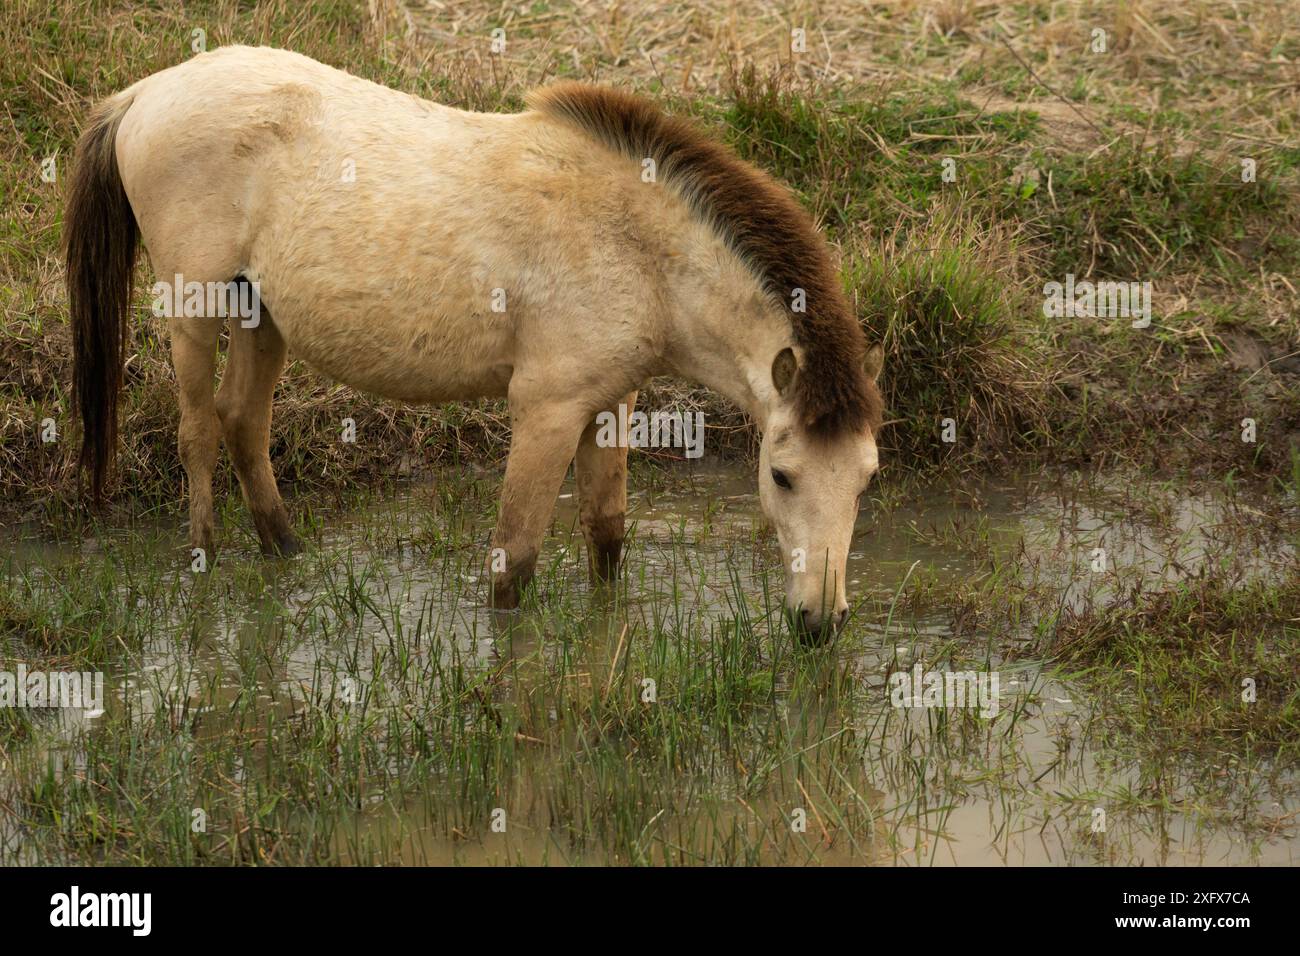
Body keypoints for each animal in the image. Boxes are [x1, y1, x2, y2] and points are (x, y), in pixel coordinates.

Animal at [64, 46, 885, 640]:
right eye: (781, 476)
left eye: (865, 482)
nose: (822, 623)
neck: (639, 248)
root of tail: (141, 95)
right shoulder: (546, 409)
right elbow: (512, 563)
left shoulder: (609, 401)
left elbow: (607, 538)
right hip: (193, 309)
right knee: (199, 434)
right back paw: (204, 565)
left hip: (261, 313)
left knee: (243, 422)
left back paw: (286, 554)